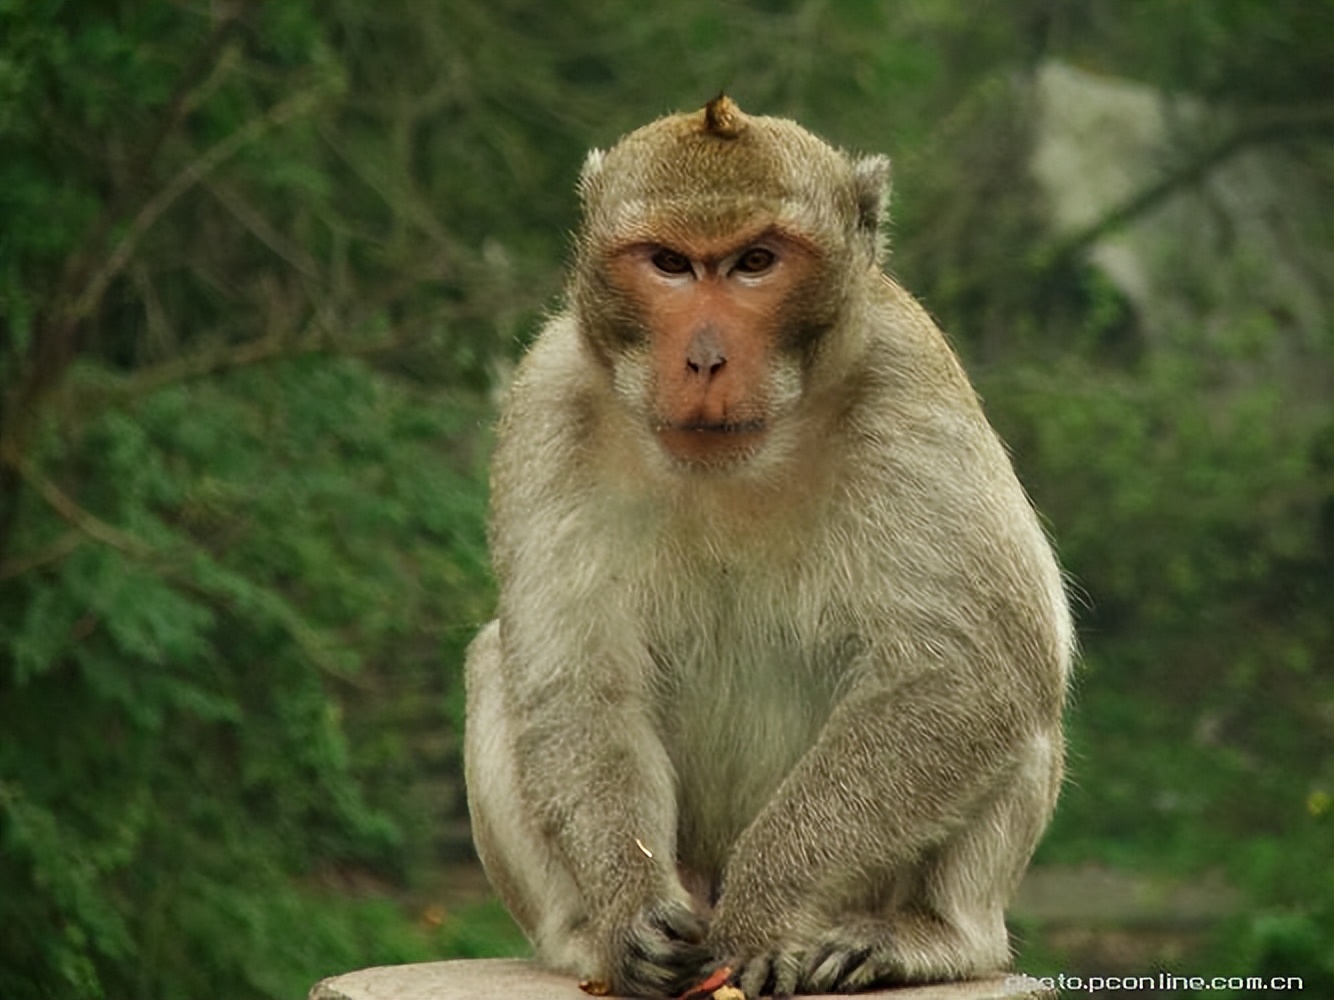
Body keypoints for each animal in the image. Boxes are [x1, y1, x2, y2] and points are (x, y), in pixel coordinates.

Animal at [463, 95, 1072, 999]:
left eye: (756, 262)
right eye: (670, 263)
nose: (706, 357)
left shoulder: (907, 381)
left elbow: (975, 668)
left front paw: (760, 910)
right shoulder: (549, 394)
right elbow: (574, 682)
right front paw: (630, 914)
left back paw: (929, 936)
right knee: (492, 661)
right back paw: (585, 939)